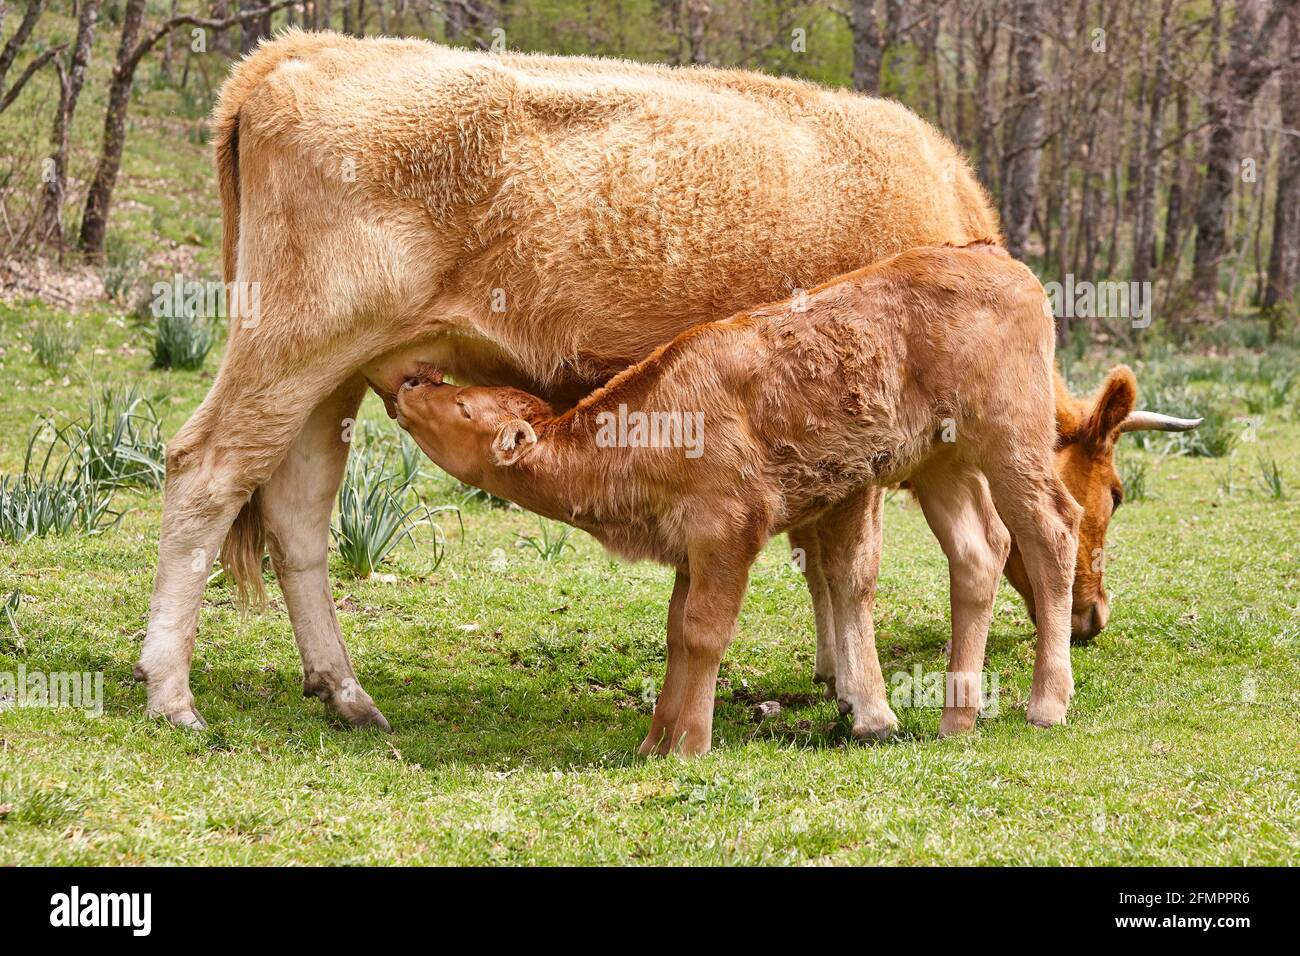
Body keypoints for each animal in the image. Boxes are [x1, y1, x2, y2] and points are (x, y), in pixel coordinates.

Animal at [392, 244, 1080, 754]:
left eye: (462, 405)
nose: (412, 382)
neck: (655, 419)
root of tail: (1005, 264)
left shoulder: (729, 532)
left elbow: (705, 632)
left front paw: (691, 744)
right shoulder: (687, 547)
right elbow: (677, 631)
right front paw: (654, 743)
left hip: (1012, 443)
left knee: (1052, 531)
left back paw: (1046, 703)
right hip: (942, 463)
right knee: (979, 552)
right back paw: (955, 719)